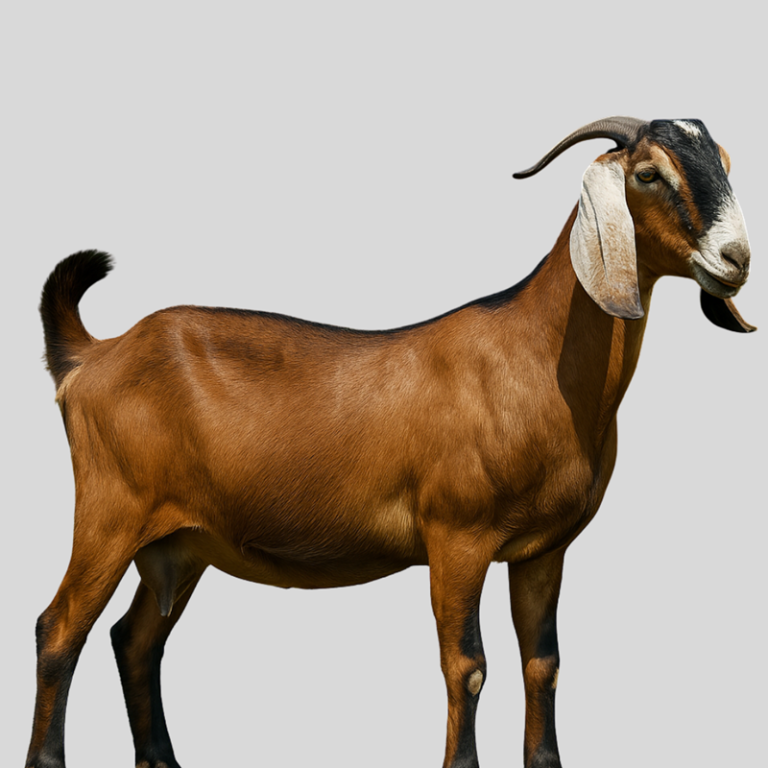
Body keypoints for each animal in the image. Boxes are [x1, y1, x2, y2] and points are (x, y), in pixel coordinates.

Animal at [26, 117, 754, 768]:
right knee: (59, 630)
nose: (737, 260)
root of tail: (94, 355)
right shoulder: (457, 536)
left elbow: (542, 663)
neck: (534, 355)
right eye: (648, 174)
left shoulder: (544, 547)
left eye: (723, 160)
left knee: (134, 639)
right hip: (111, 510)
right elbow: (467, 666)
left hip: (182, 542)